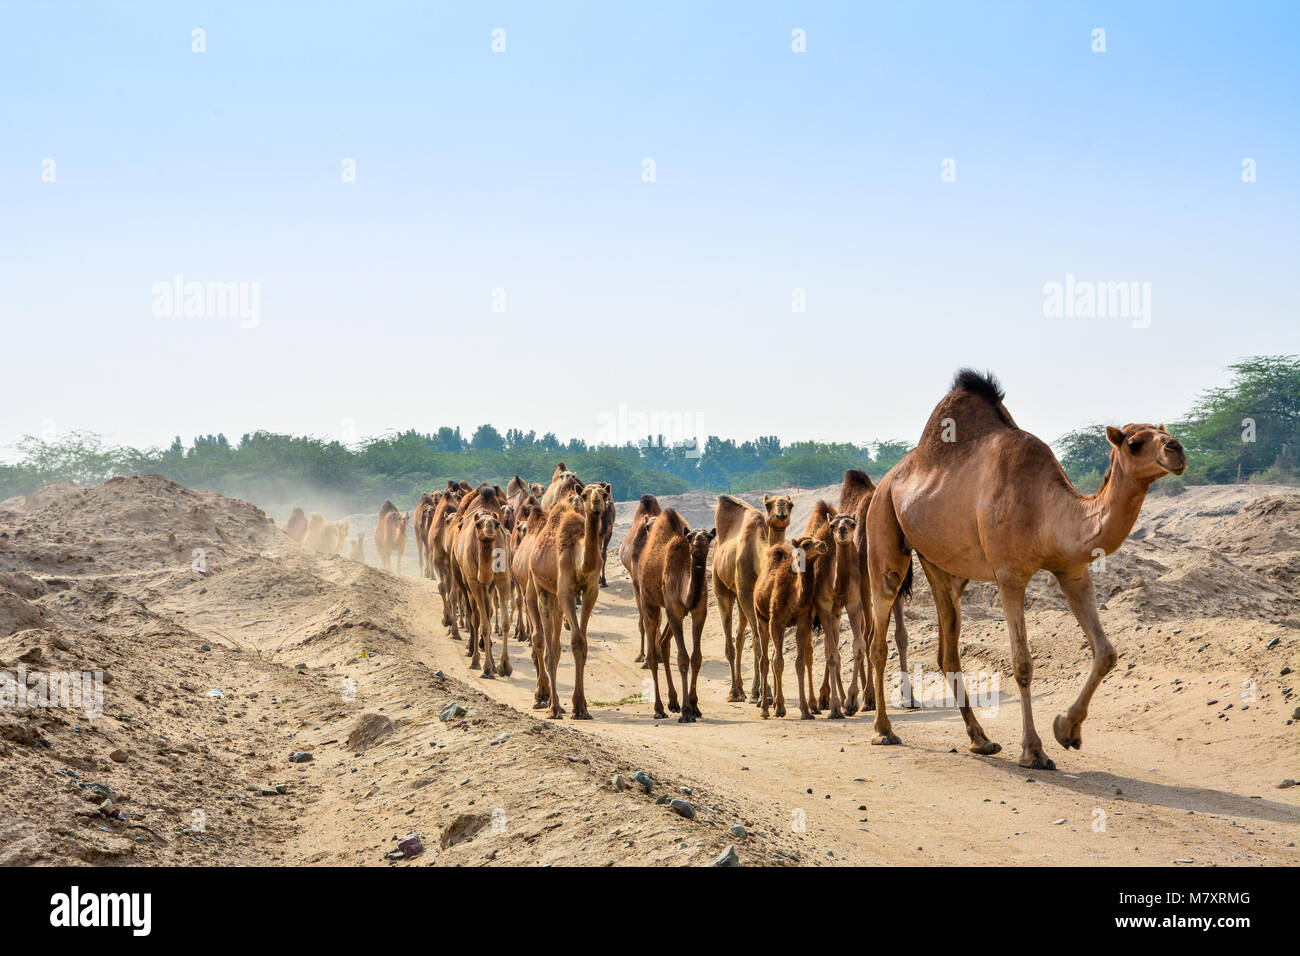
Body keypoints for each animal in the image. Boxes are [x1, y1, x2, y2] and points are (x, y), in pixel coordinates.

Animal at [528, 483, 611, 719]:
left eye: (604, 493)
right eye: (584, 494)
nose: (596, 503)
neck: (578, 557)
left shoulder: (590, 591)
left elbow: (582, 643)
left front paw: (581, 707)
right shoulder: (566, 591)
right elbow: (575, 641)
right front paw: (573, 707)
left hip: (555, 598)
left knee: (555, 645)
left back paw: (553, 703)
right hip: (541, 587)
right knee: (549, 647)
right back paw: (552, 706)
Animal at [635, 509, 714, 722]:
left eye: (709, 536)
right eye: (692, 536)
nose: (700, 540)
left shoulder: (699, 611)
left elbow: (696, 658)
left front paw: (694, 707)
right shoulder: (674, 610)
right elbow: (683, 659)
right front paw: (687, 712)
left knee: (663, 643)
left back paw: (673, 703)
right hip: (650, 603)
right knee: (653, 655)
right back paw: (659, 709)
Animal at [711, 493, 793, 701]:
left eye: (791, 504)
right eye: (768, 504)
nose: (782, 507)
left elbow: (762, 640)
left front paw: (759, 691)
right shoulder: (745, 591)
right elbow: (757, 640)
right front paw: (763, 692)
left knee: (740, 638)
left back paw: (742, 689)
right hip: (723, 590)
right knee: (730, 642)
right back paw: (734, 692)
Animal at [753, 533, 830, 719]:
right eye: (807, 544)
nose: (823, 545)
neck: (795, 595)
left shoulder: (803, 622)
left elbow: (800, 662)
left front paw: (805, 710)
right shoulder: (776, 622)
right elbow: (778, 662)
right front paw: (778, 708)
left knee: (775, 657)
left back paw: (776, 704)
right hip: (762, 619)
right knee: (765, 660)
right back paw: (766, 708)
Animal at [864, 369, 1186, 768]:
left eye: (1161, 432)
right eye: (1135, 443)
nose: (1177, 449)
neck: (1047, 512)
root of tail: (887, 480)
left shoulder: (1073, 570)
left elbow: (1106, 652)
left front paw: (1066, 729)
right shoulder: (1008, 575)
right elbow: (1022, 664)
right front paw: (1033, 750)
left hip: (941, 564)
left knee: (947, 650)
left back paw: (981, 739)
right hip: (883, 529)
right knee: (878, 637)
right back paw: (883, 731)